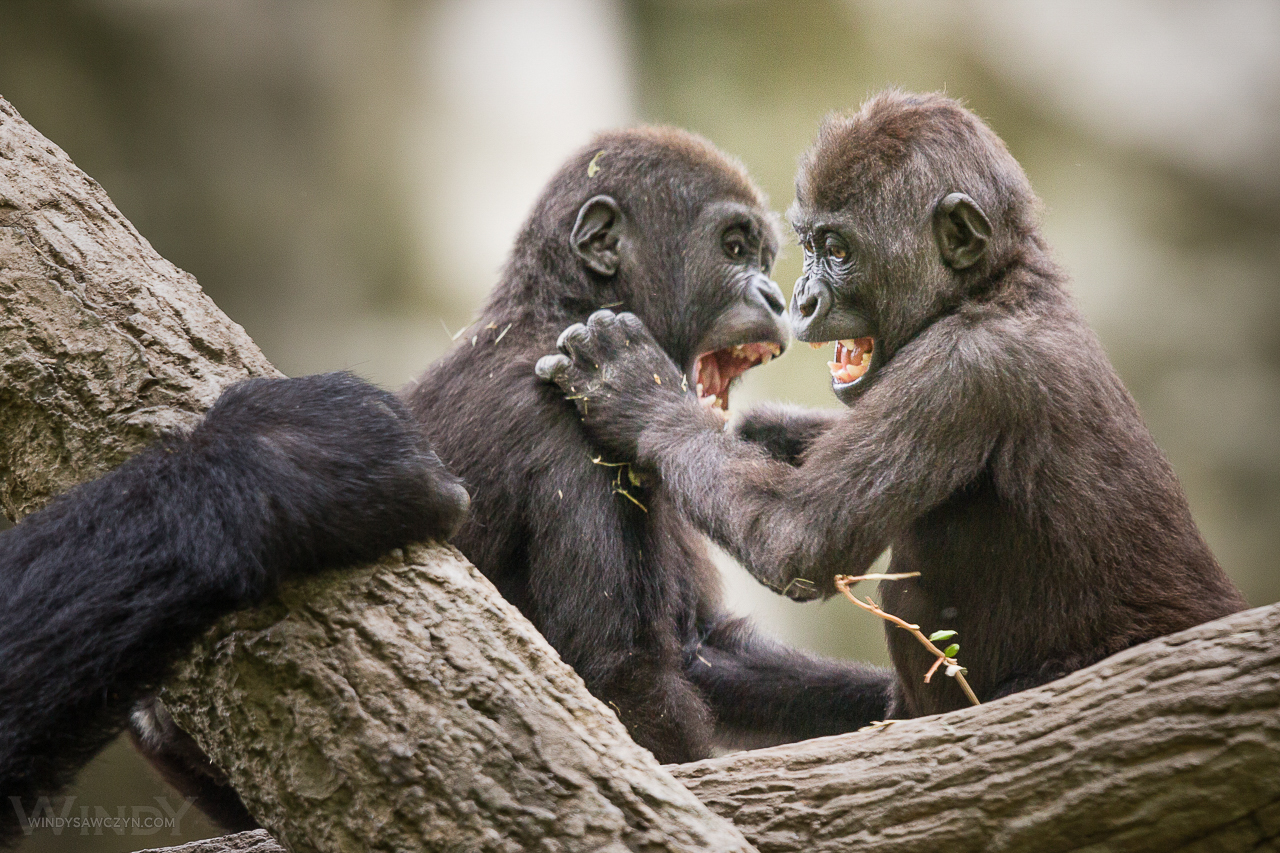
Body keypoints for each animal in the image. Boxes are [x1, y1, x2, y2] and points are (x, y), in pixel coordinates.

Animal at [537, 91, 1248, 719]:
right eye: (809, 245)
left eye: (838, 250)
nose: (800, 299)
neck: (991, 284)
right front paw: (767, 431)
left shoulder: (965, 371)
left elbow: (799, 539)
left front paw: (639, 392)